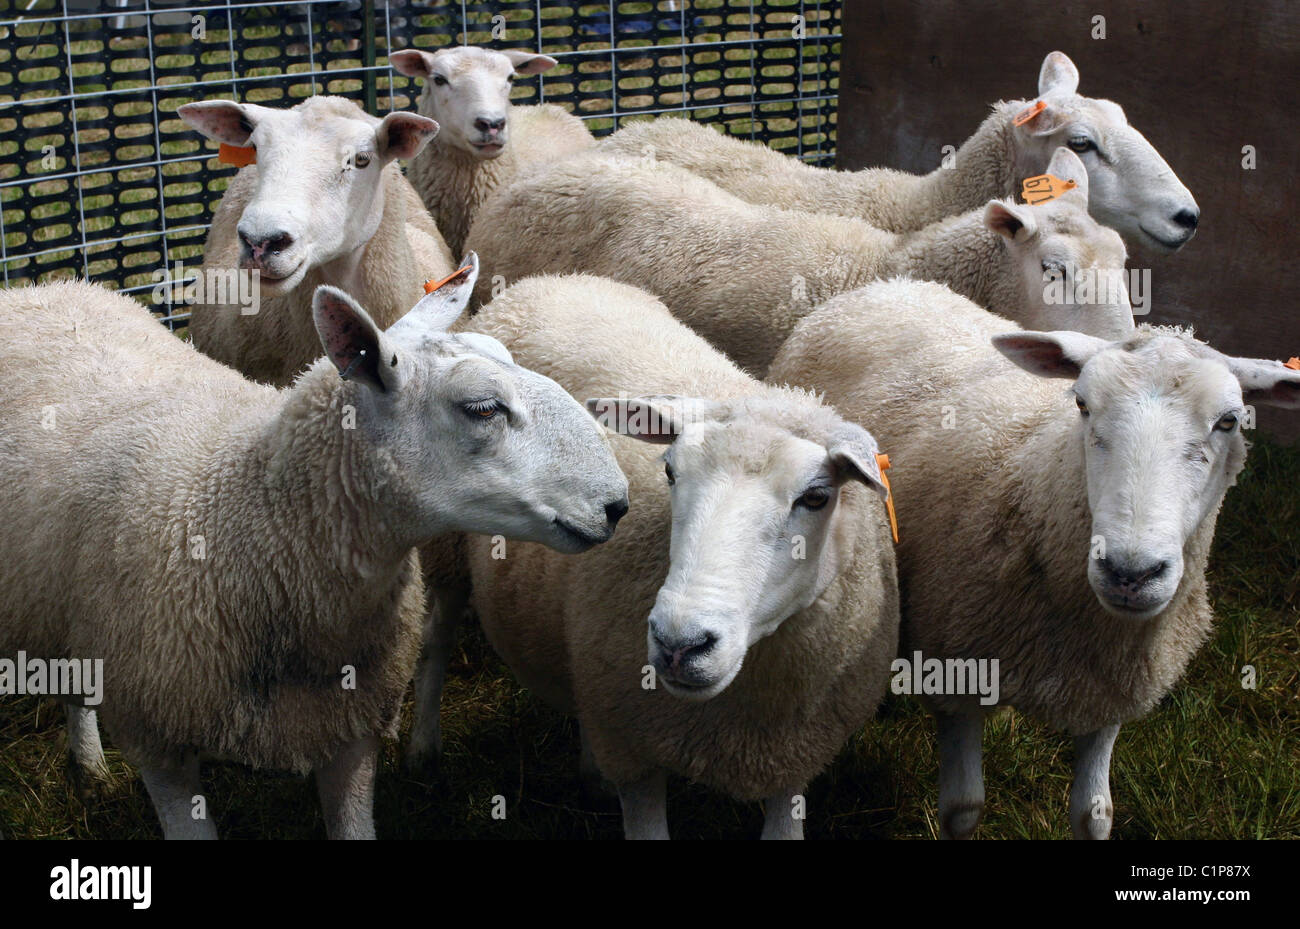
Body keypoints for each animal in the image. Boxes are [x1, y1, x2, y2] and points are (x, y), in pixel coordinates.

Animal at [453, 273, 900, 839]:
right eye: (669, 471)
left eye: (817, 497)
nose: (679, 644)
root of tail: (553, 281)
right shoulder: (632, 748)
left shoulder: (791, 757)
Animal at [766, 278, 1300, 839]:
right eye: (1082, 404)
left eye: (1230, 421)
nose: (1130, 573)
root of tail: (888, 285)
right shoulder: (958, 666)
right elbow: (963, 809)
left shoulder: (1113, 686)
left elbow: (1095, 815)